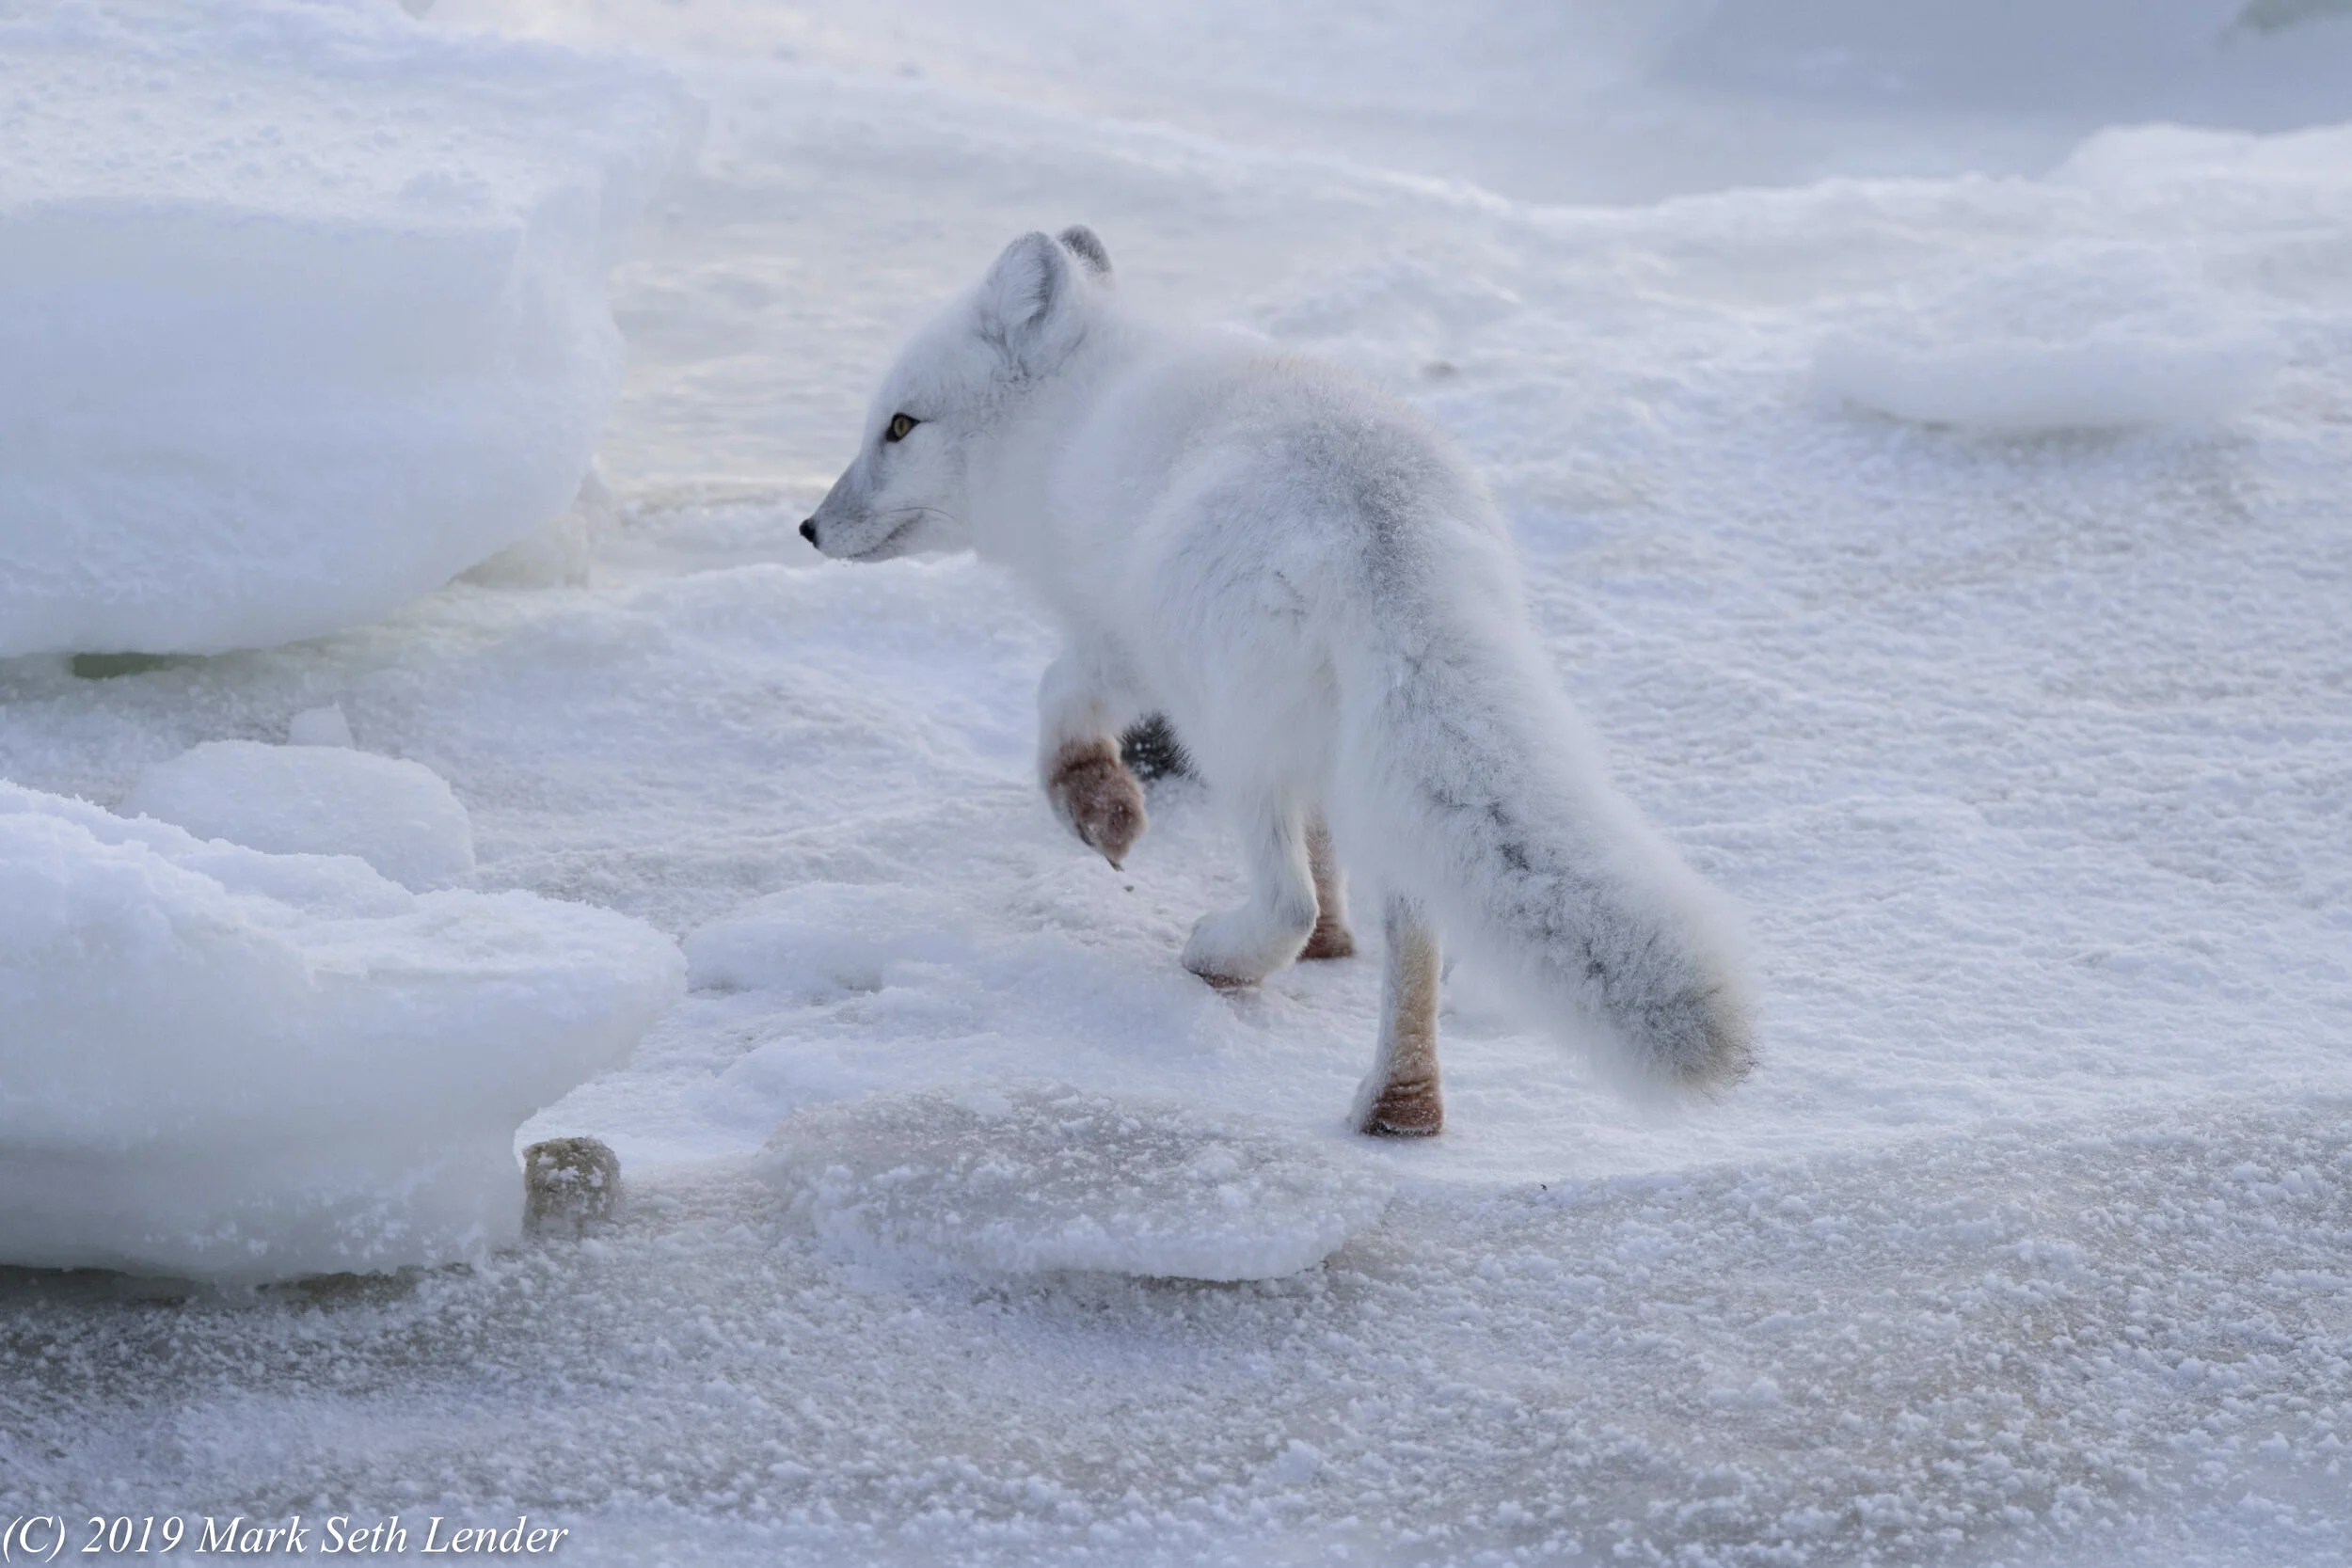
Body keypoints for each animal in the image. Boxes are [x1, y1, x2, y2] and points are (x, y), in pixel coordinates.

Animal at [801, 226, 1753, 1135]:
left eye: (900, 426)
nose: (808, 527)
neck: (1072, 421)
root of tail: (1382, 532)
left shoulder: (1117, 640)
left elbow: (1056, 698)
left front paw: (1096, 803)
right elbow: (1327, 844)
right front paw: (1335, 939)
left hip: (1227, 735)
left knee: (1286, 896)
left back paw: (1222, 961)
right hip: (1359, 741)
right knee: (1411, 918)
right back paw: (1401, 1104)